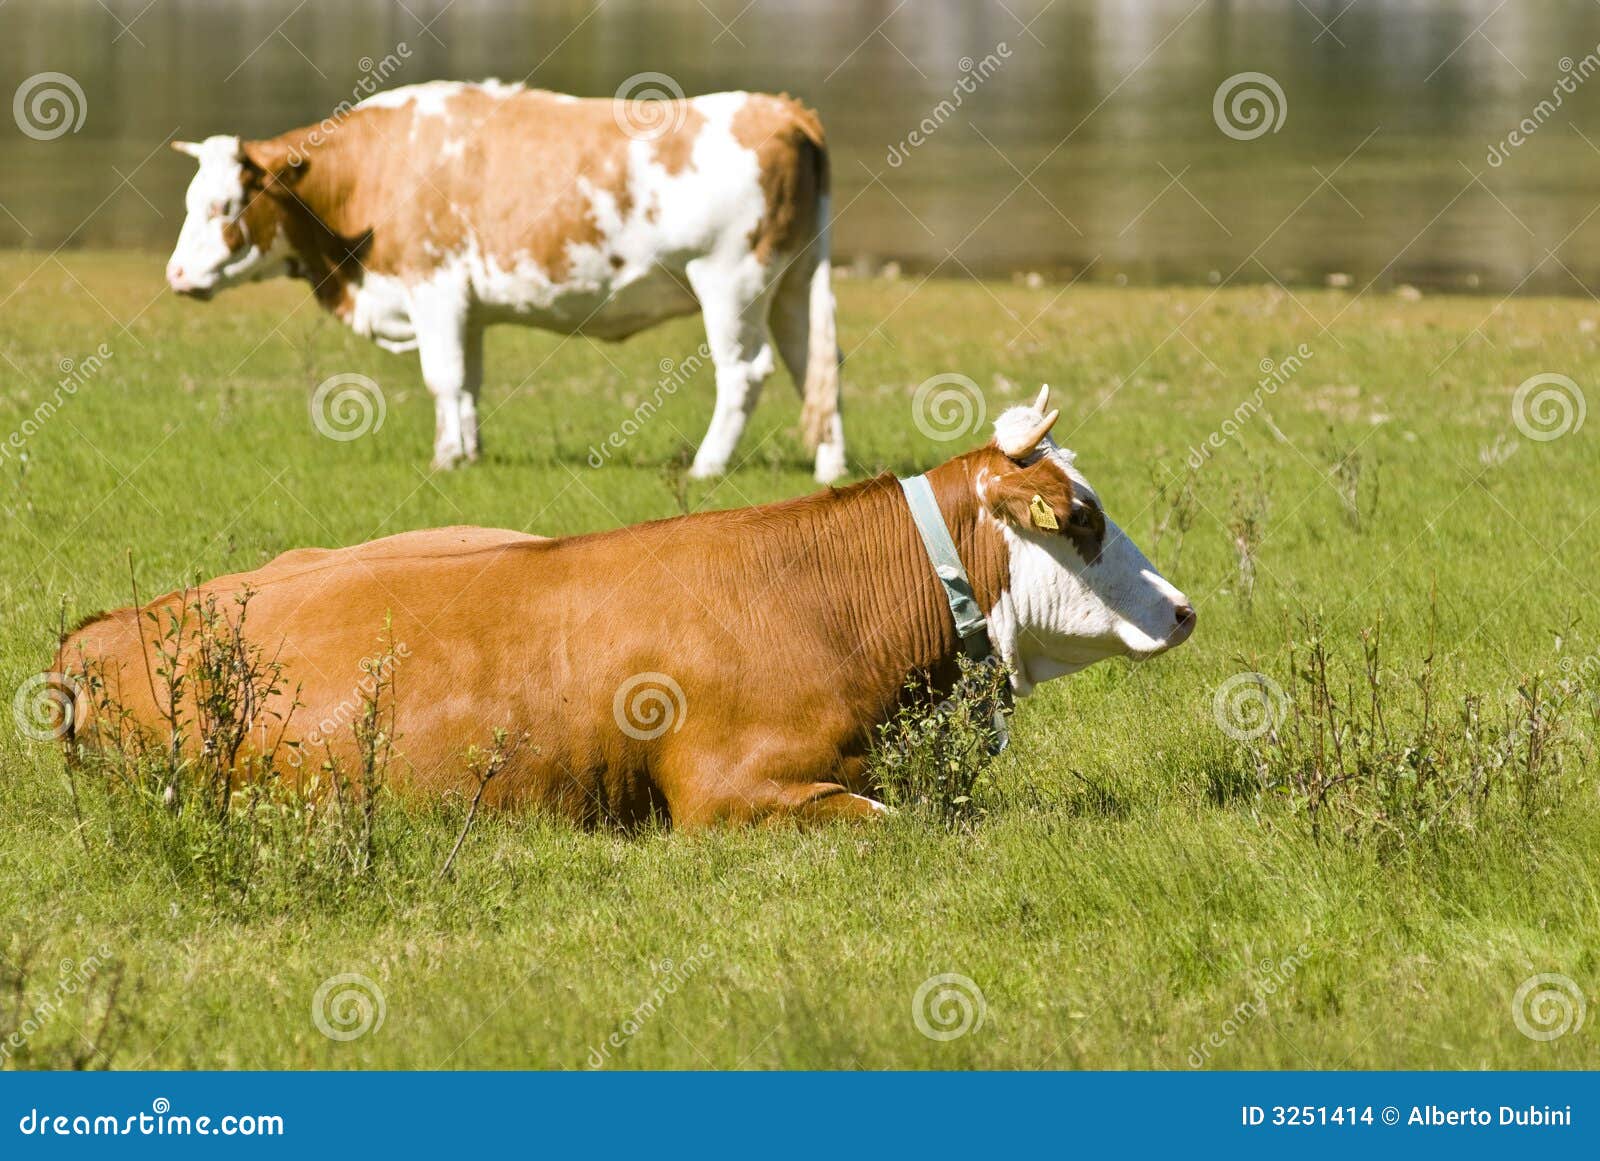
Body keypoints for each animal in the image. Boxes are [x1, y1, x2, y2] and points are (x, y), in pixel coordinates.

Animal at [164, 81, 846, 482]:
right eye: (190, 201)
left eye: (224, 206)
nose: (175, 275)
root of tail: (782, 107)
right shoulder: (466, 305)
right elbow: (466, 382)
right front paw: (468, 452)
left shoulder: (433, 285)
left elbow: (441, 377)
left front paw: (444, 461)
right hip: (793, 282)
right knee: (816, 364)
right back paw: (830, 471)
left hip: (731, 280)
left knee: (745, 373)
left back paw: (706, 467)